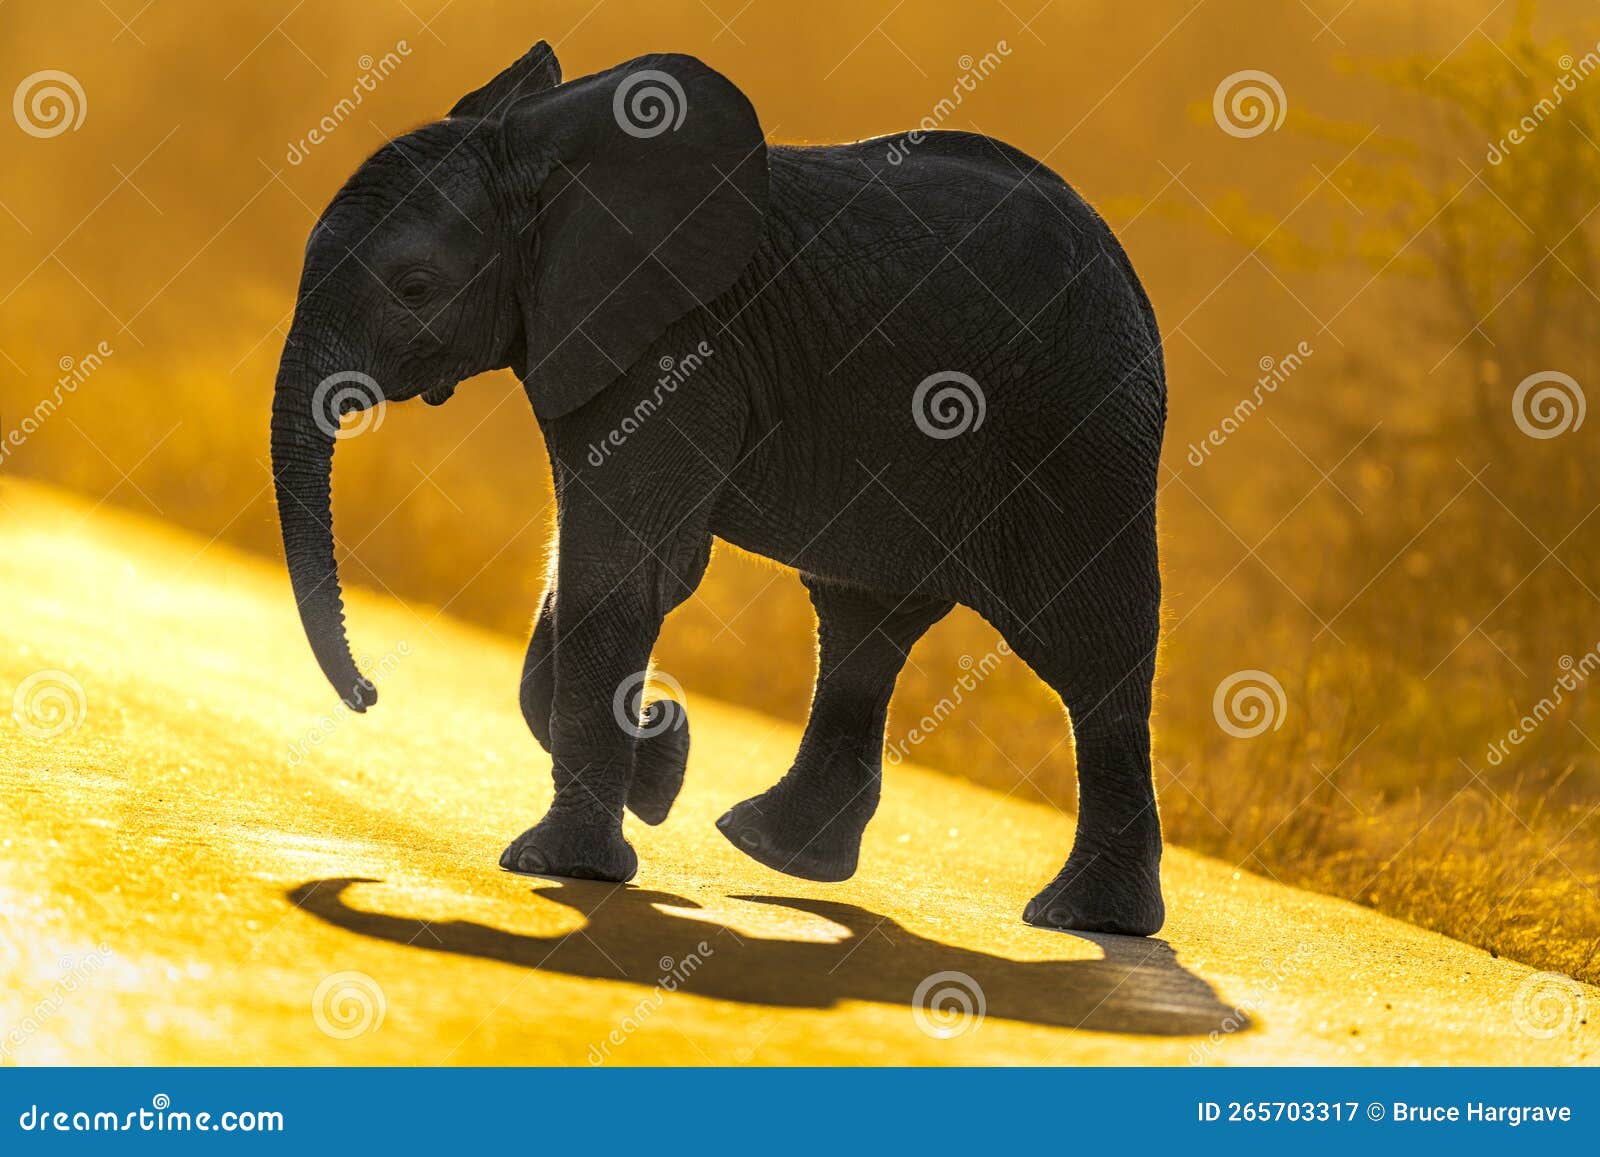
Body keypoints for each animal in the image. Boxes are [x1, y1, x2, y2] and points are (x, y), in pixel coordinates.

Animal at [269, 41, 1168, 936]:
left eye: (415, 287)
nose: (370, 694)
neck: (541, 154)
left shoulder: (681, 346)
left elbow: (622, 570)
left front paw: (569, 858)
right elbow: (597, 571)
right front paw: (661, 766)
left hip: (1084, 432)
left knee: (1092, 650)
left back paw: (1084, 917)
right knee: (861, 621)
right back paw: (774, 850)